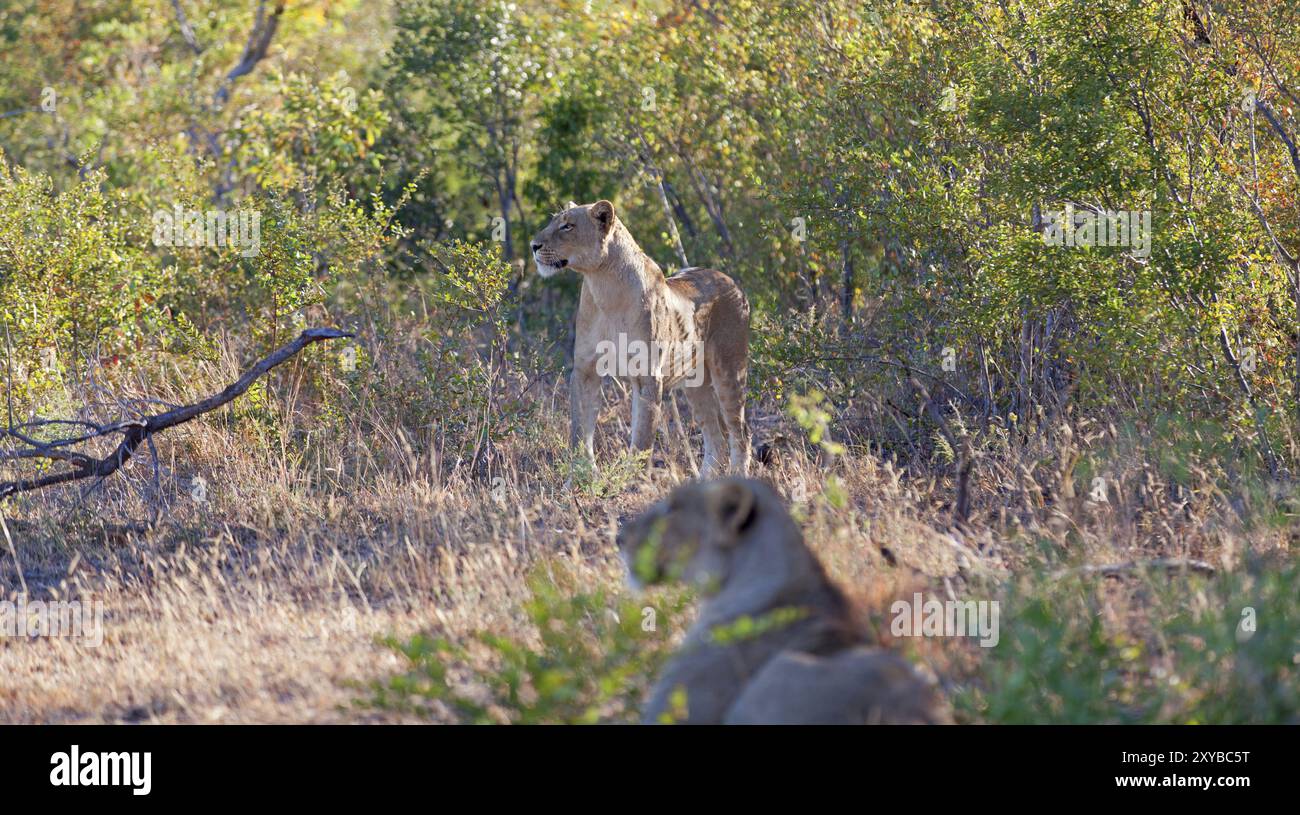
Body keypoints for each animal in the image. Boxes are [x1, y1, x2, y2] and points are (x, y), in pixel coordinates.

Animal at [531, 200, 750, 477]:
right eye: (553, 221)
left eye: (567, 226)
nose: (533, 245)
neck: (603, 286)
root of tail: (732, 281)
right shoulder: (585, 369)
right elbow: (580, 431)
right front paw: (581, 478)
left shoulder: (648, 375)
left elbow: (642, 438)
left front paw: (631, 481)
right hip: (696, 383)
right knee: (716, 437)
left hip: (730, 371)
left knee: (740, 433)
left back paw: (739, 476)